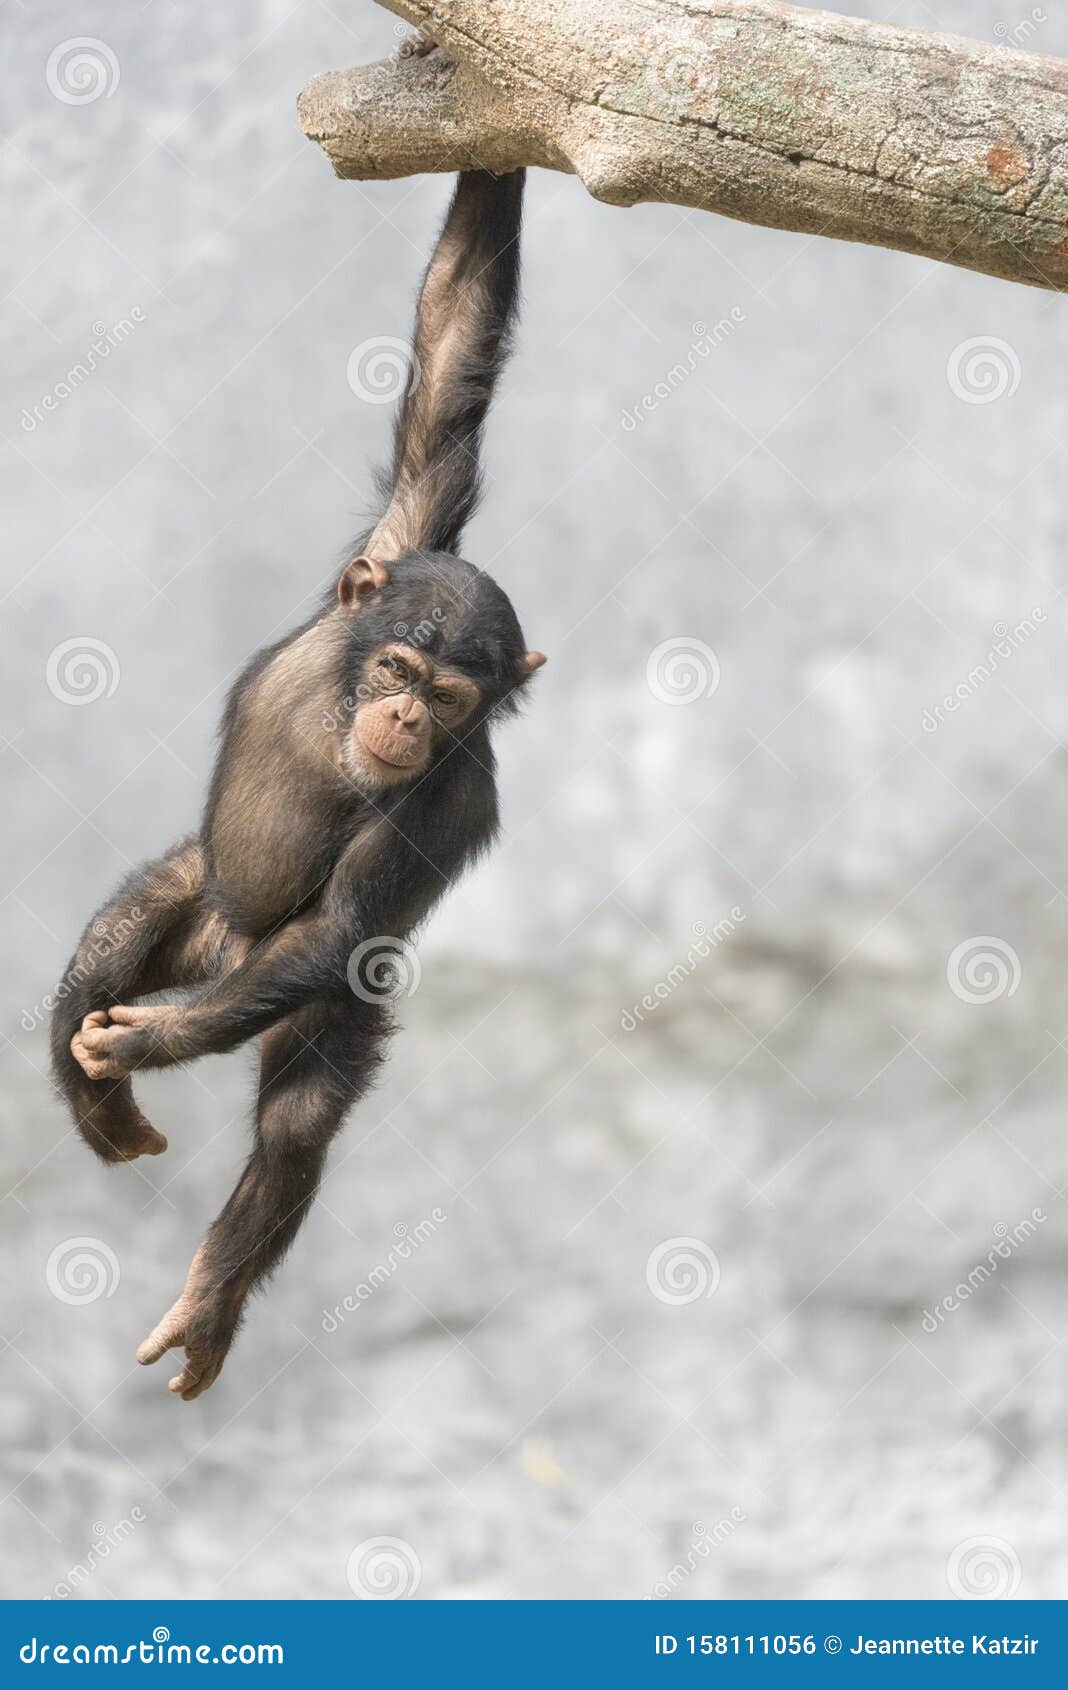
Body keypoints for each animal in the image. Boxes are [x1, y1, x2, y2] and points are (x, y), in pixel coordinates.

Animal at [50, 168, 544, 1401]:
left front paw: (144, 1047)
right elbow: (451, 362)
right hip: (197, 903)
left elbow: (347, 920)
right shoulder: (399, 538)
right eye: (401, 666)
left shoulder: (448, 804)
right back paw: (99, 1098)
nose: (408, 715)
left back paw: (209, 1295)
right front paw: (489, 131)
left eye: (452, 699)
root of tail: (225, 950)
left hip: (288, 992)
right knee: (105, 950)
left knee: (294, 1119)